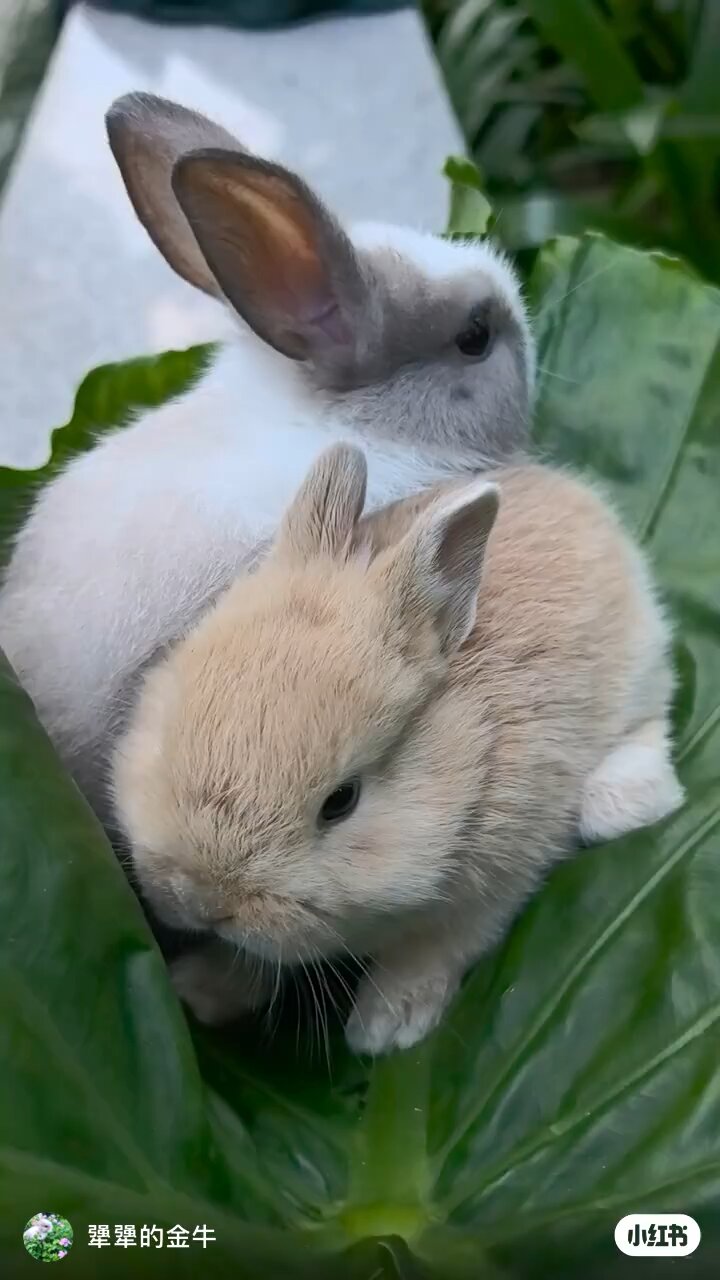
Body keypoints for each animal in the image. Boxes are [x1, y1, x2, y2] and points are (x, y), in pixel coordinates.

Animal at [111, 443, 684, 1056]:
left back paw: (621, 801)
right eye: (168, 729)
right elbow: (255, 959)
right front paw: (201, 989)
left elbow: (436, 947)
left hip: (640, 668)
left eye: (341, 801)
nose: (203, 901)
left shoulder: (502, 873)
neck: (465, 751)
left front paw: (386, 1026)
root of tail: (568, 491)